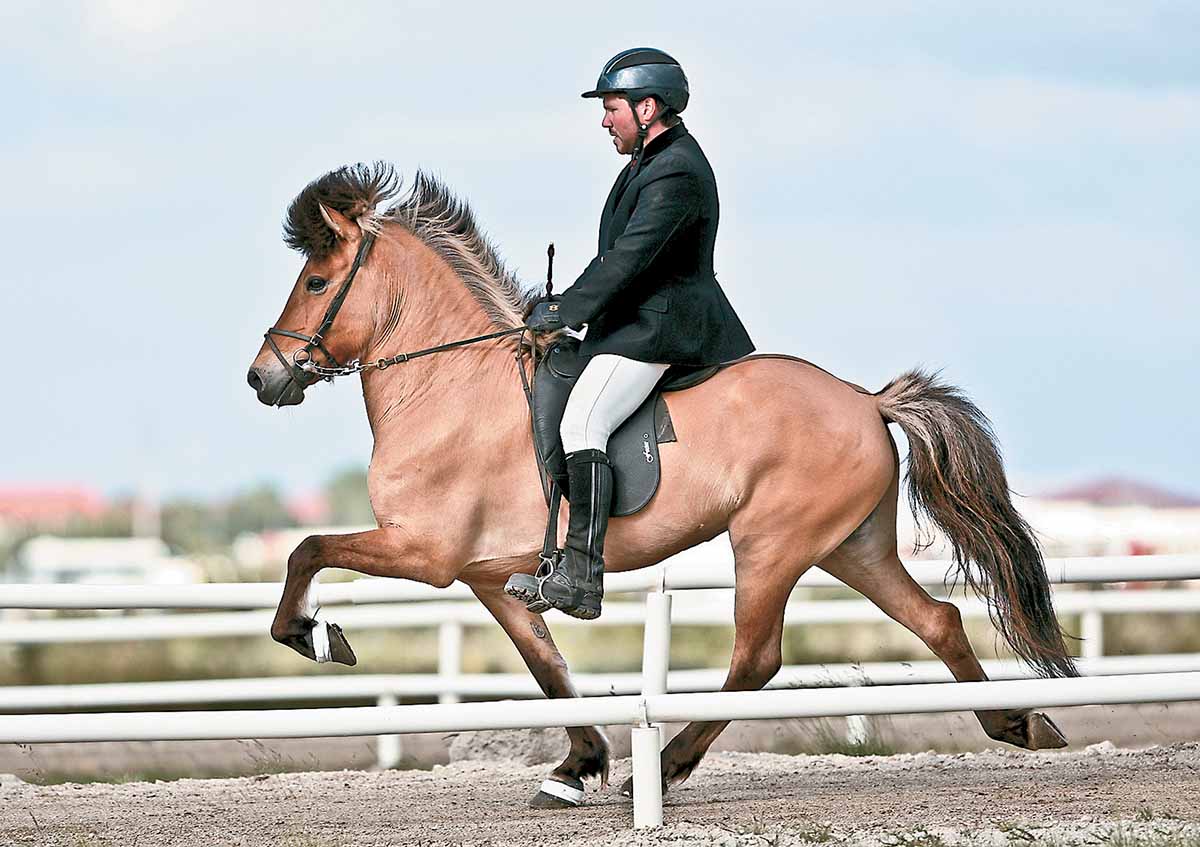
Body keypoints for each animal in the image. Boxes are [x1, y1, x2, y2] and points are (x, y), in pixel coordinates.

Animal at [246, 162, 1076, 805]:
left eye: (316, 281)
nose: (264, 378)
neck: (447, 384)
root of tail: (866, 399)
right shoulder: (488, 575)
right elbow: (549, 669)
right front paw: (575, 766)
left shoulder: (425, 551)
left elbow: (307, 547)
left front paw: (312, 635)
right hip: (851, 545)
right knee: (936, 618)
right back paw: (1016, 721)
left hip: (771, 545)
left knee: (757, 658)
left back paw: (669, 765)